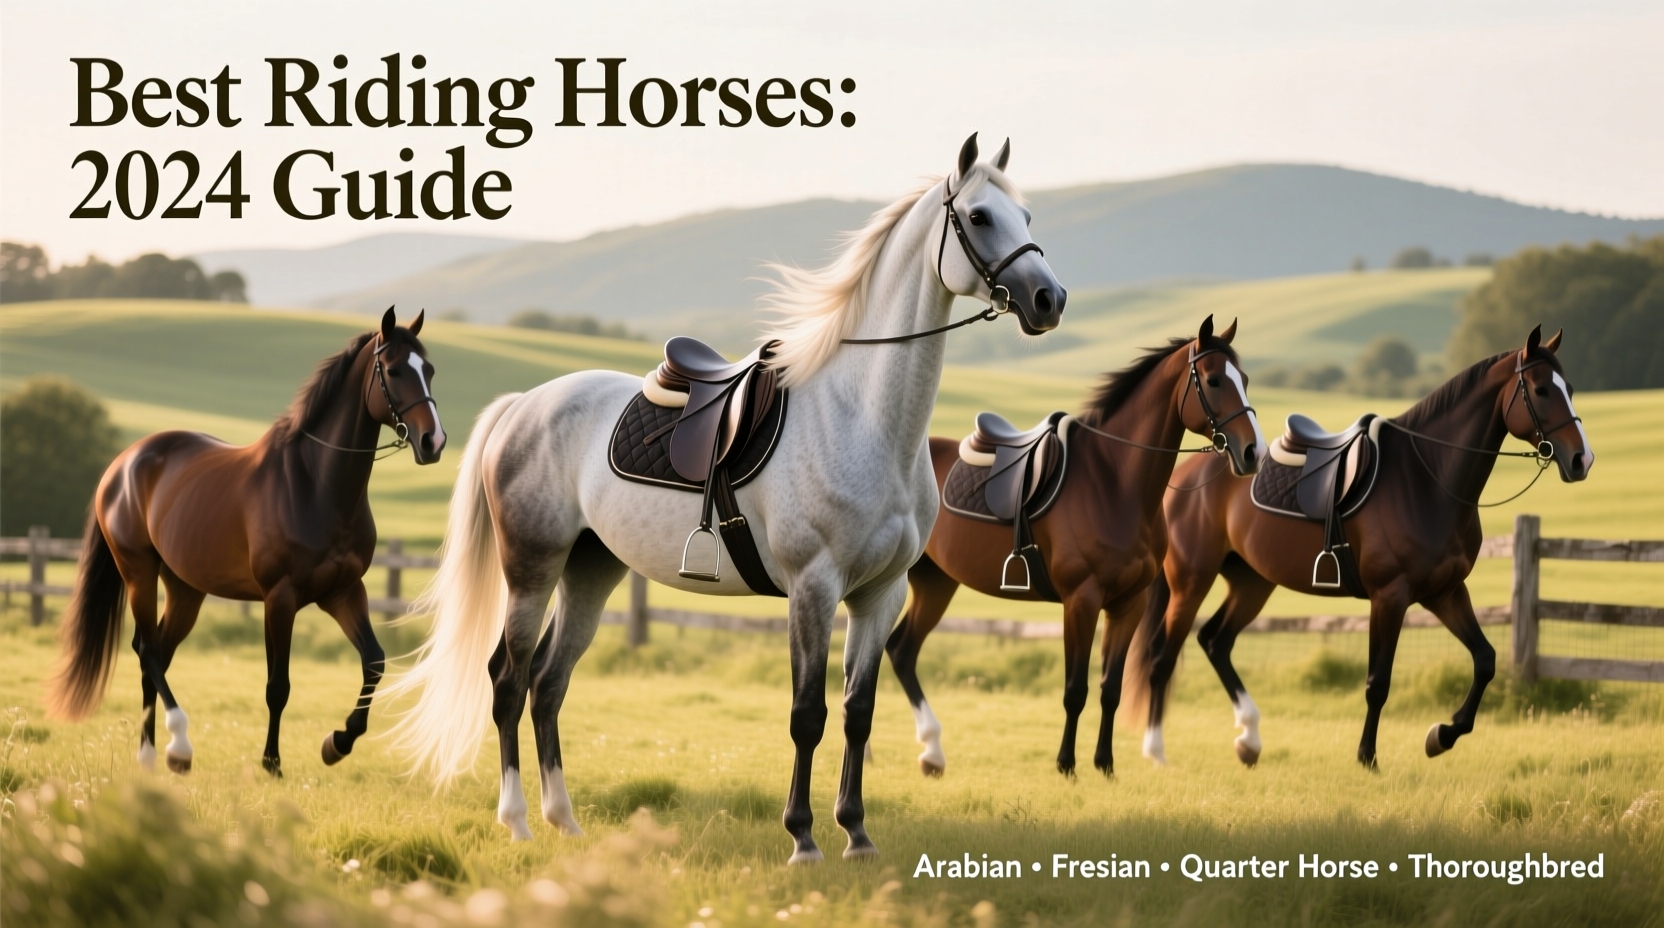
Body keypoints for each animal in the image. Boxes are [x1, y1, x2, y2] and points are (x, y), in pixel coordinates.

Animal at [46, 308, 446, 778]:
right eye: (395, 370)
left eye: (430, 370)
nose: (433, 442)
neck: (314, 484)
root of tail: (122, 465)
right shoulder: (280, 598)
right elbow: (278, 685)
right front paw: (272, 762)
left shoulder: (343, 592)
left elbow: (374, 663)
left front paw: (338, 742)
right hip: (139, 574)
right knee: (148, 652)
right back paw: (175, 747)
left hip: (186, 590)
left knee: (156, 654)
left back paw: (154, 755)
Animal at [384, 134, 1065, 864]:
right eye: (980, 216)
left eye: (1027, 214)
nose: (1048, 299)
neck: (862, 417)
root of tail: (523, 406)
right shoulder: (814, 588)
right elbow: (807, 715)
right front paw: (803, 837)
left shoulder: (878, 595)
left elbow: (857, 713)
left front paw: (855, 832)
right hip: (533, 569)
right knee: (509, 682)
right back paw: (516, 820)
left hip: (590, 572)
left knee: (547, 685)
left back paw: (563, 819)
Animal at [884, 316, 1265, 780]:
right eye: (1213, 380)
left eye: (1244, 379)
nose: (1252, 452)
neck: (1113, 483)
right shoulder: (1080, 601)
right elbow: (1075, 690)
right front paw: (1066, 764)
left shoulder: (1128, 605)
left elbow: (1110, 689)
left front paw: (1105, 763)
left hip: (936, 583)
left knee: (902, 651)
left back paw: (932, 752)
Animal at [1132, 325, 1592, 770]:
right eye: (1541, 390)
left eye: (1569, 386)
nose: (1582, 460)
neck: (1425, 478)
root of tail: (1187, 474)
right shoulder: (1390, 597)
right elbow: (1378, 683)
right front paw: (1367, 756)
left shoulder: (1444, 592)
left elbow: (1485, 660)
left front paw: (1441, 736)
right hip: (1192, 582)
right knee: (1162, 656)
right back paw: (1155, 750)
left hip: (1252, 582)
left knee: (1215, 641)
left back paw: (1249, 739)